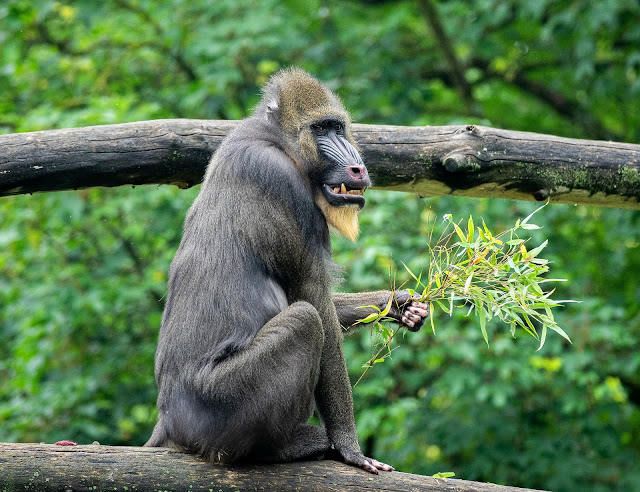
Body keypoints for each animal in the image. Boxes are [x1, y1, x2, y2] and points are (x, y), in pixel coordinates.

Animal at [145, 68, 429, 474]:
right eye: (321, 129)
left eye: (339, 127)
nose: (357, 167)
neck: (280, 142)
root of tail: (169, 419)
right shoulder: (288, 191)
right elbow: (315, 300)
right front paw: (352, 450)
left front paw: (402, 305)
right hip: (223, 404)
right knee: (305, 320)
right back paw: (291, 447)